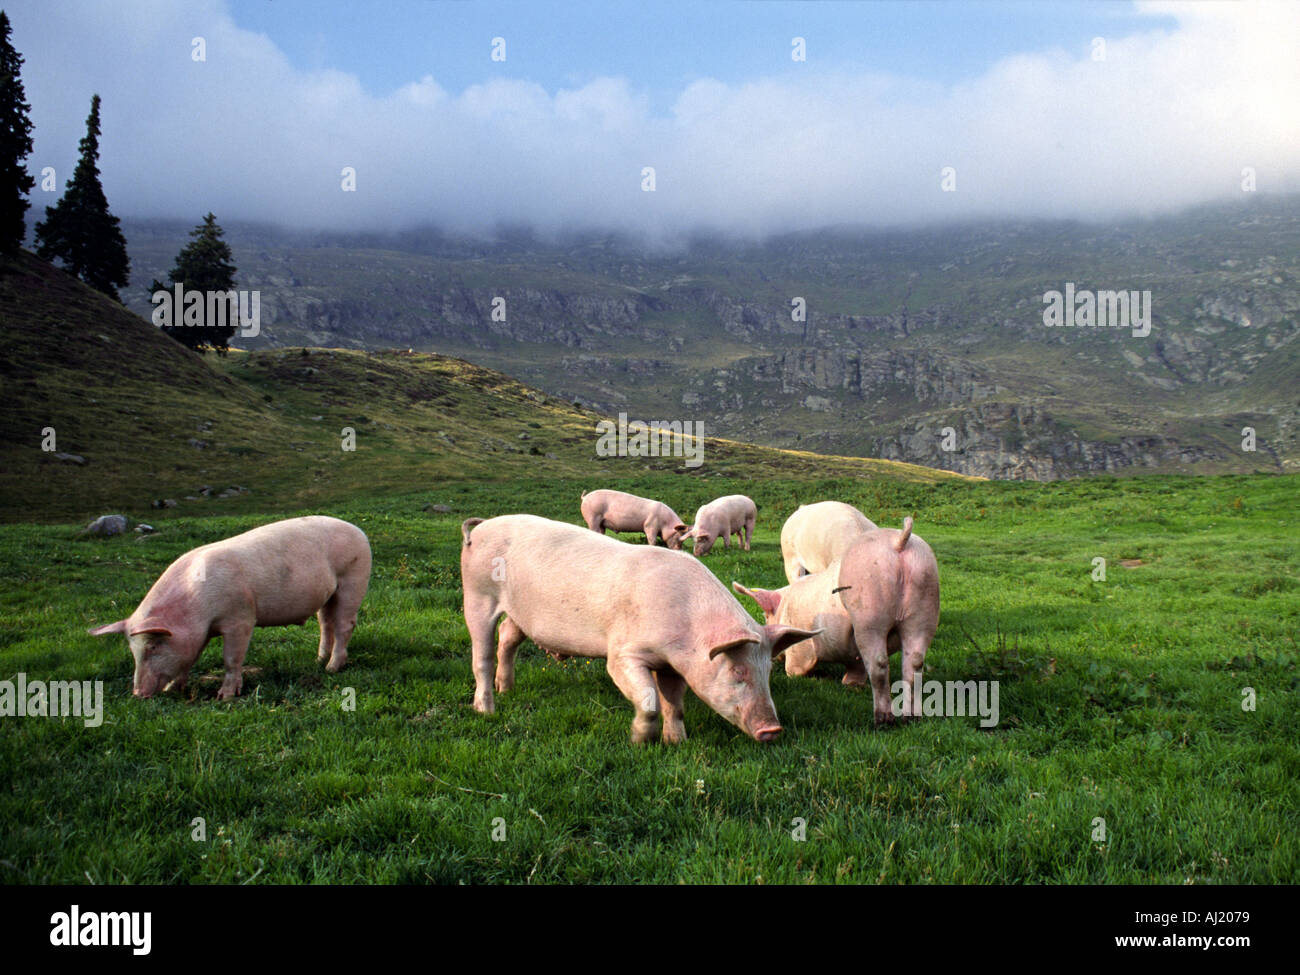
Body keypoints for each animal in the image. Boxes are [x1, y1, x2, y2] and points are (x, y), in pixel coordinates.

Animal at [88, 516, 371, 700]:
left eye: (153, 646)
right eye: (133, 650)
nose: (138, 694)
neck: (196, 606)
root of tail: (359, 531)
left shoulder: (240, 617)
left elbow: (231, 658)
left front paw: (224, 697)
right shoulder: (200, 633)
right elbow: (190, 657)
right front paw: (173, 690)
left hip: (353, 578)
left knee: (345, 624)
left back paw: (332, 667)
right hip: (327, 594)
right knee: (326, 622)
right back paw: (318, 660)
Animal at [460, 514, 818, 743]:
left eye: (767, 673)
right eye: (737, 671)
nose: (773, 730)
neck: (688, 628)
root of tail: (481, 527)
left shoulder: (674, 664)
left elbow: (674, 703)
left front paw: (677, 742)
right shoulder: (623, 653)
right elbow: (648, 698)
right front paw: (638, 741)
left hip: (519, 612)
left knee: (507, 637)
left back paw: (508, 690)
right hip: (476, 595)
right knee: (482, 655)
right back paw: (486, 710)